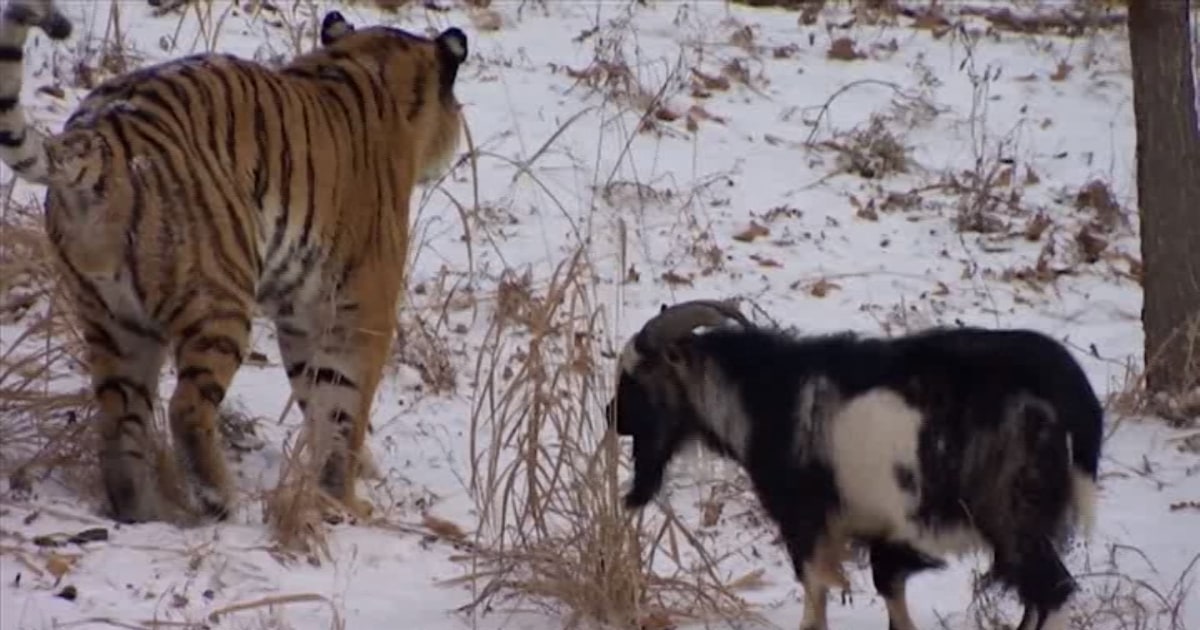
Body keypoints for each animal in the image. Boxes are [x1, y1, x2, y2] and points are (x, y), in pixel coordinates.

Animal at [0, 1, 469, 525]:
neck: (368, 66)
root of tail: (99, 136)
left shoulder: (302, 313)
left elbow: (317, 397)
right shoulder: (360, 309)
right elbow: (343, 408)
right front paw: (345, 502)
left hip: (113, 320)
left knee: (119, 419)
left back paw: (145, 512)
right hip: (218, 298)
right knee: (185, 407)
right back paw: (218, 498)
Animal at [605, 300, 1102, 630]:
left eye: (636, 376)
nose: (613, 417)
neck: (765, 395)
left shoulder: (806, 521)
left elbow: (816, 595)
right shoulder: (883, 531)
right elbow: (889, 590)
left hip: (1011, 514)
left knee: (1053, 592)